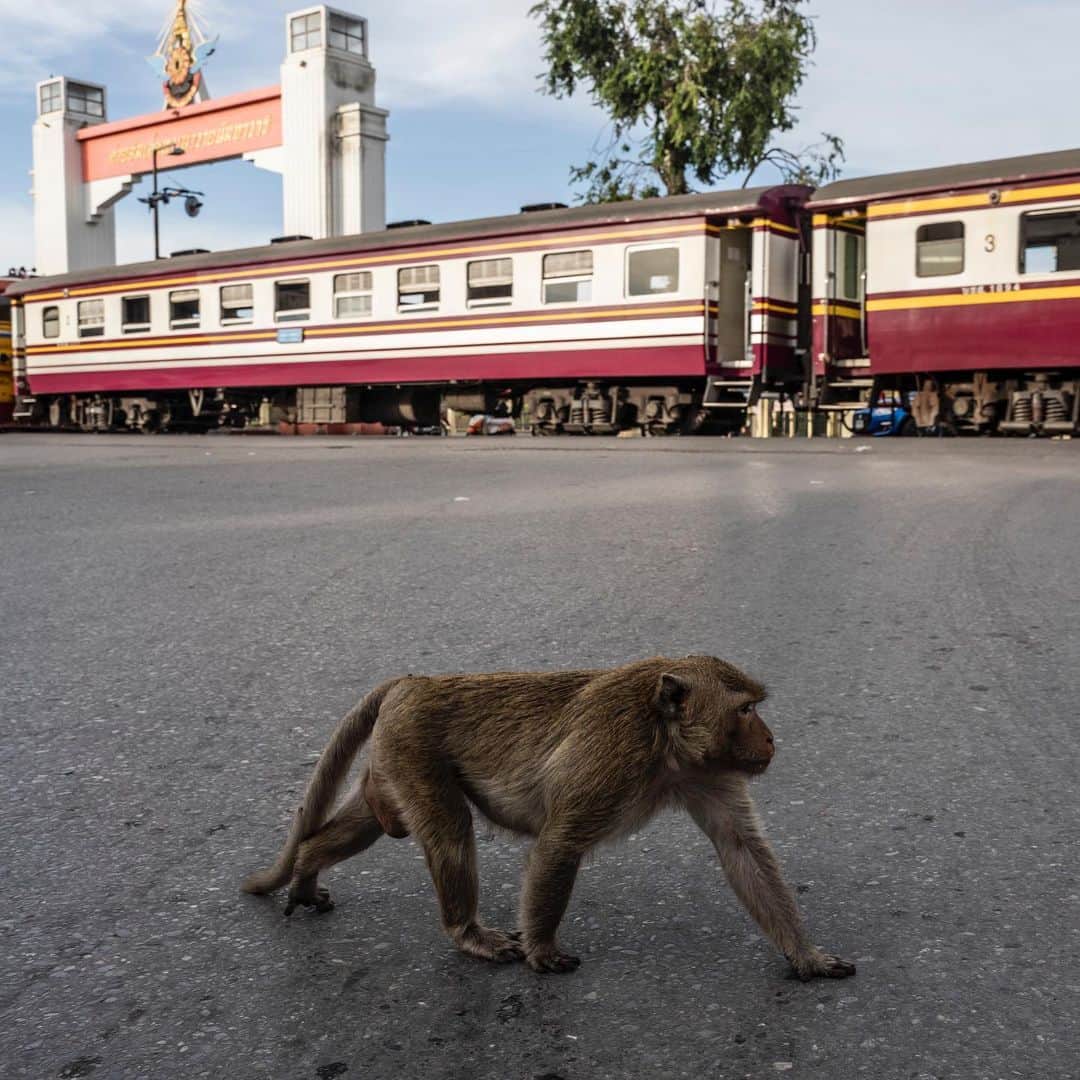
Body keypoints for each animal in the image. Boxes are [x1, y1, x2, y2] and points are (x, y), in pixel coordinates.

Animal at [242, 656, 855, 980]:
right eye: (746, 710)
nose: (771, 739)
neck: (664, 740)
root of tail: (411, 682)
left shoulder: (707, 774)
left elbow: (740, 848)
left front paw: (805, 955)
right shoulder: (613, 760)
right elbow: (560, 844)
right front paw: (542, 949)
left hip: (393, 759)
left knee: (370, 822)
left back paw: (306, 867)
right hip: (413, 749)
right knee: (450, 830)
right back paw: (468, 933)